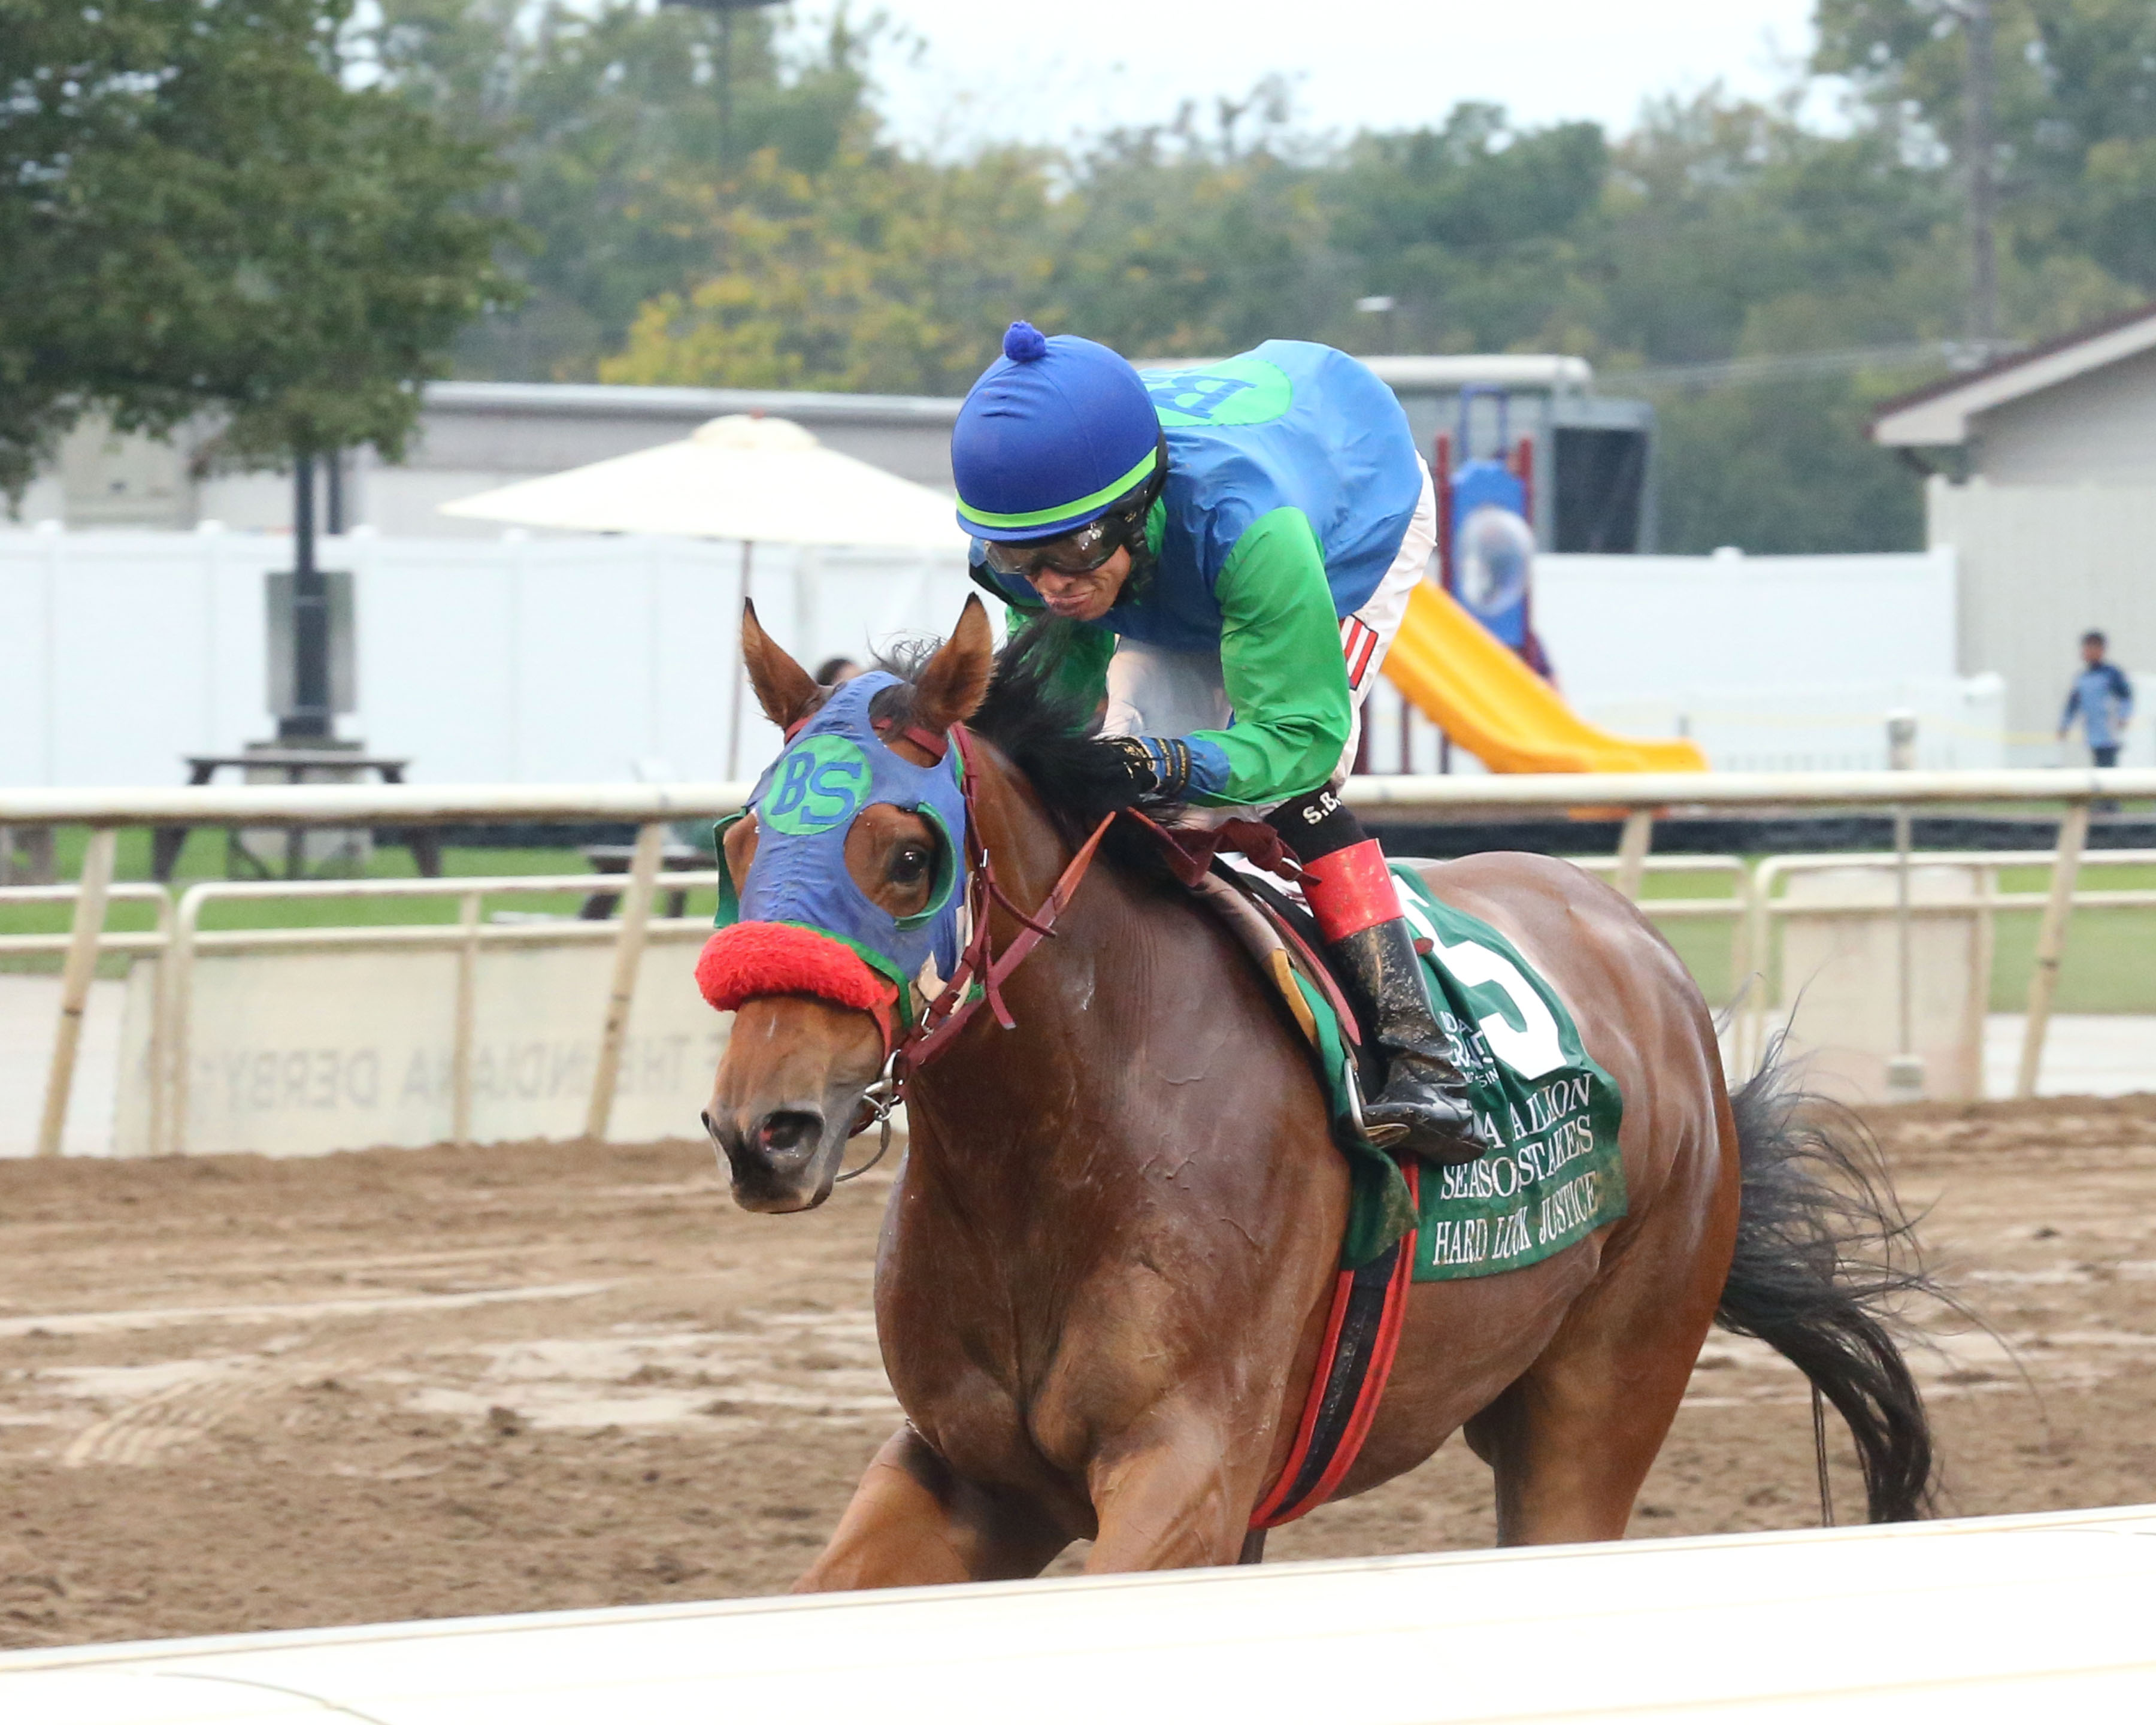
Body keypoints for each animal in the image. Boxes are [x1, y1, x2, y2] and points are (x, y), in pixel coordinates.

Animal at [701, 596, 1935, 1586]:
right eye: (742, 839)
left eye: (911, 857)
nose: (762, 1131)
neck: (1059, 1143)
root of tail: (1642, 948)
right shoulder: (967, 1474)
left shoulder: (1187, 1472)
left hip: (1604, 1391)